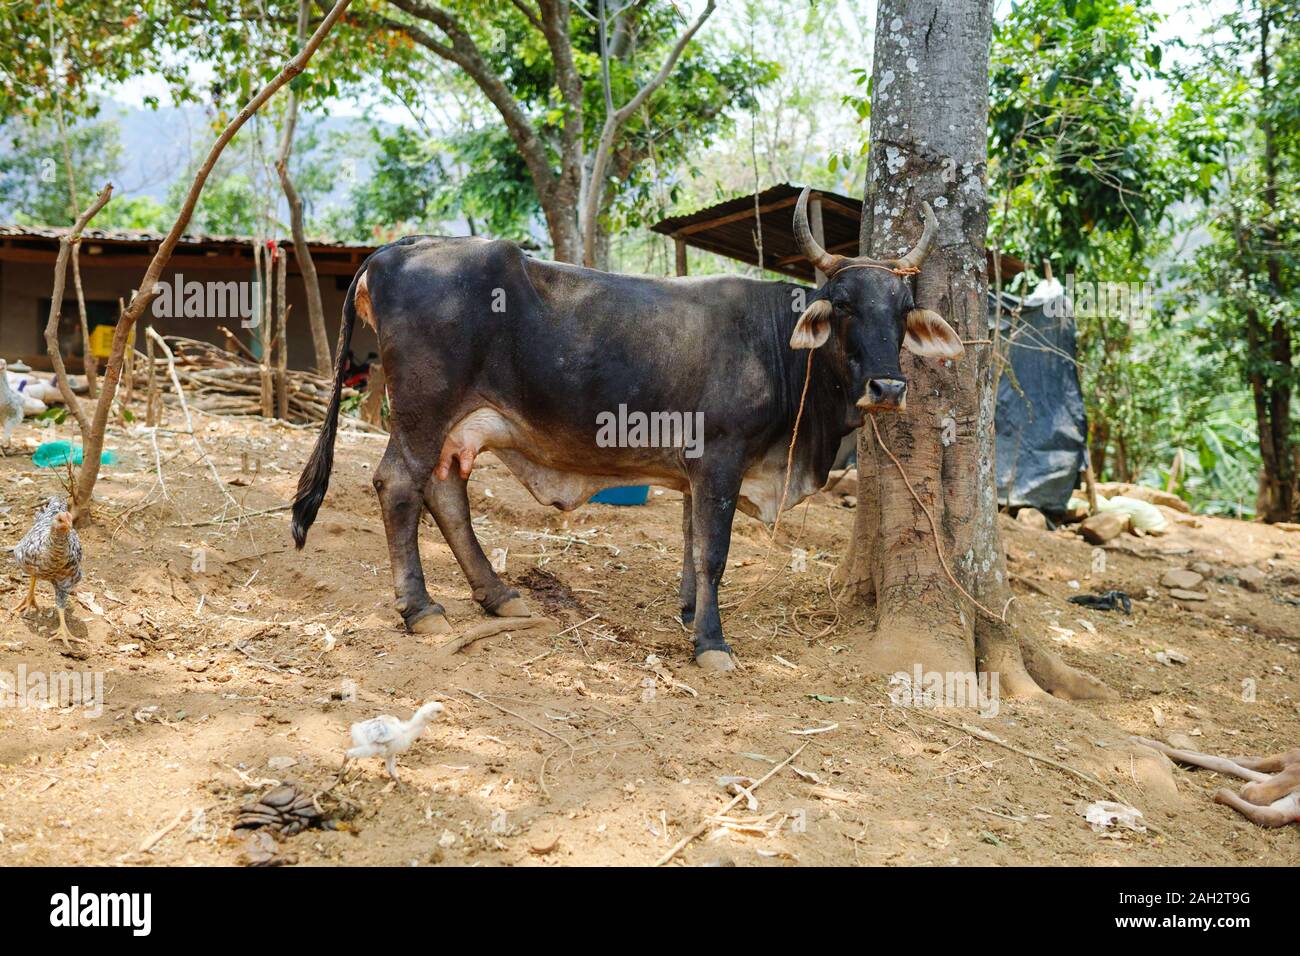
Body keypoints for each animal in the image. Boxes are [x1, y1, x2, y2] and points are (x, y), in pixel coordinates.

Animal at [292, 189, 963, 672]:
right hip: (422, 412)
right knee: (398, 486)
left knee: (444, 493)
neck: (780, 347)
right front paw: (711, 643)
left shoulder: (697, 470)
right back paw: (420, 609)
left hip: (456, 424)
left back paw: (499, 596)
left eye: (904, 311)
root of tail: (399, 248)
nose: (889, 390)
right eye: (844, 305)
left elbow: (692, 543)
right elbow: (714, 551)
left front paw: (690, 612)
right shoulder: (720, 458)